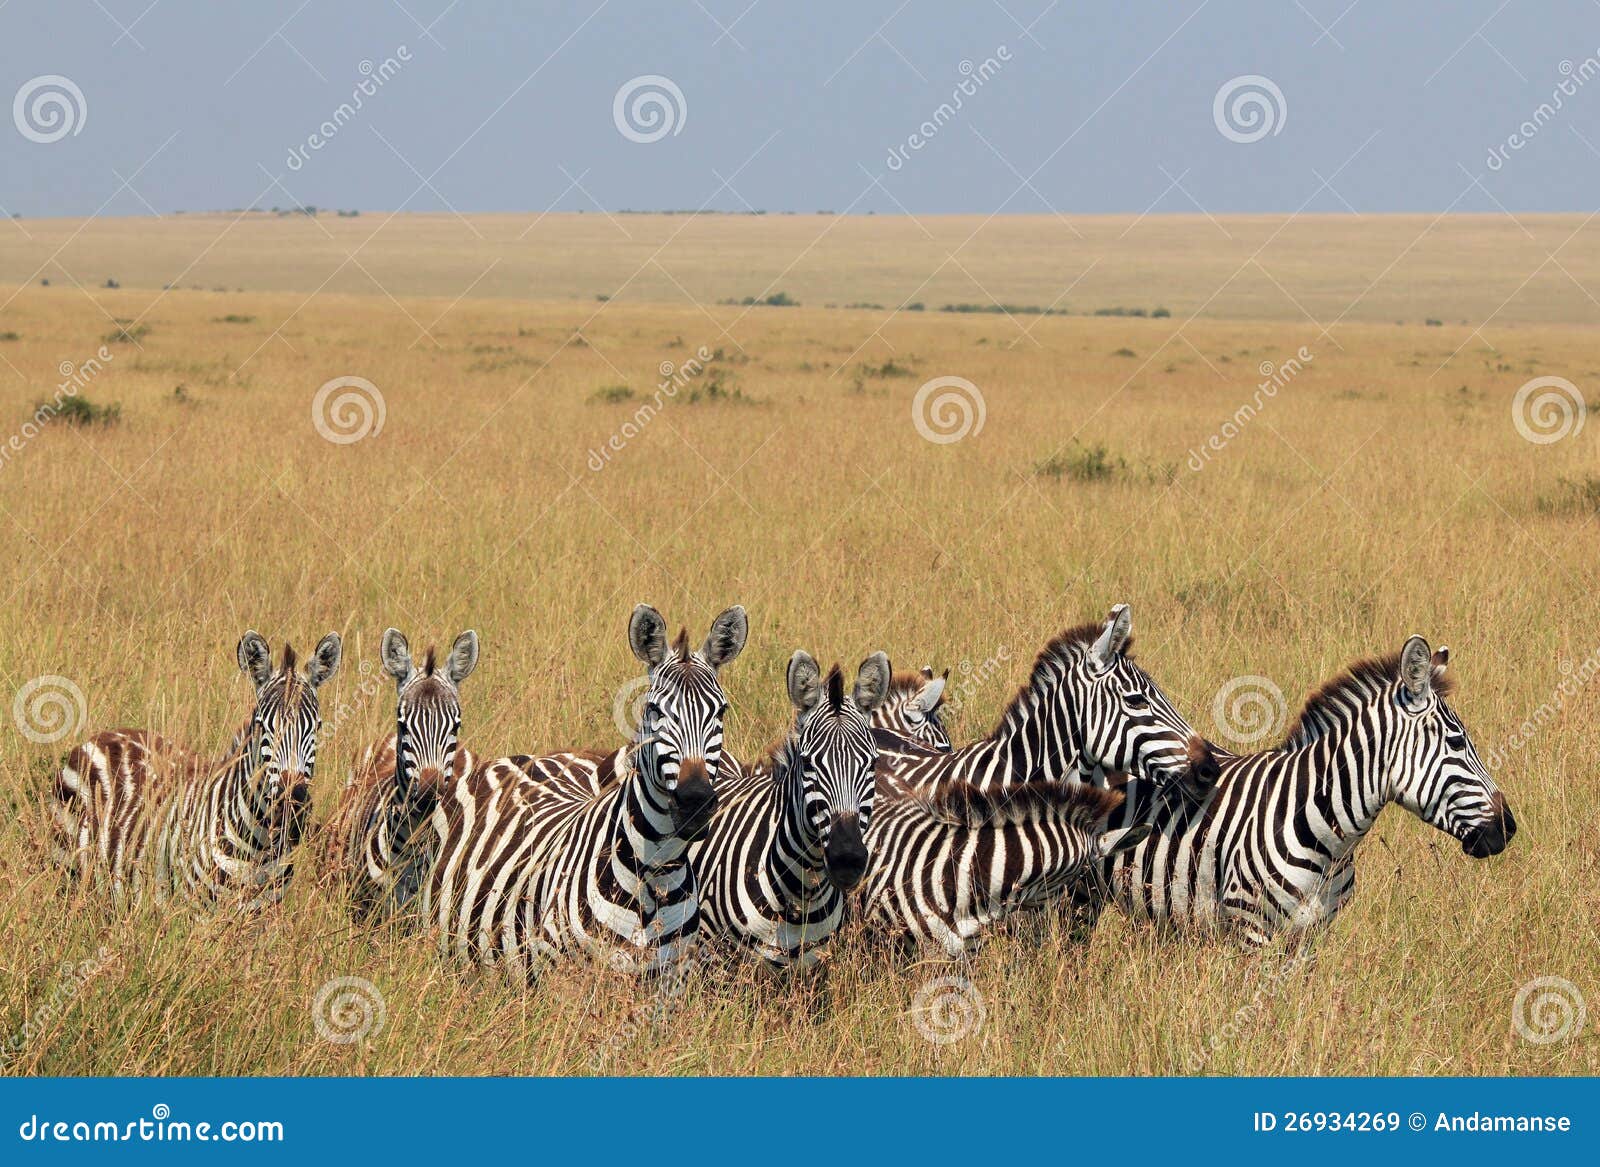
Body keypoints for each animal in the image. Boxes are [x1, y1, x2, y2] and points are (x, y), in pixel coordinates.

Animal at [50, 631, 342, 910]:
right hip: (68, 873)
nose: (293, 803)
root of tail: (106, 734)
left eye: (317, 726)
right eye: (262, 725)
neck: (258, 851)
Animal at [422, 604, 747, 980]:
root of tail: (514, 760)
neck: (655, 873)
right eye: (654, 710)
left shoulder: (671, 981)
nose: (694, 801)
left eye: (721, 711)